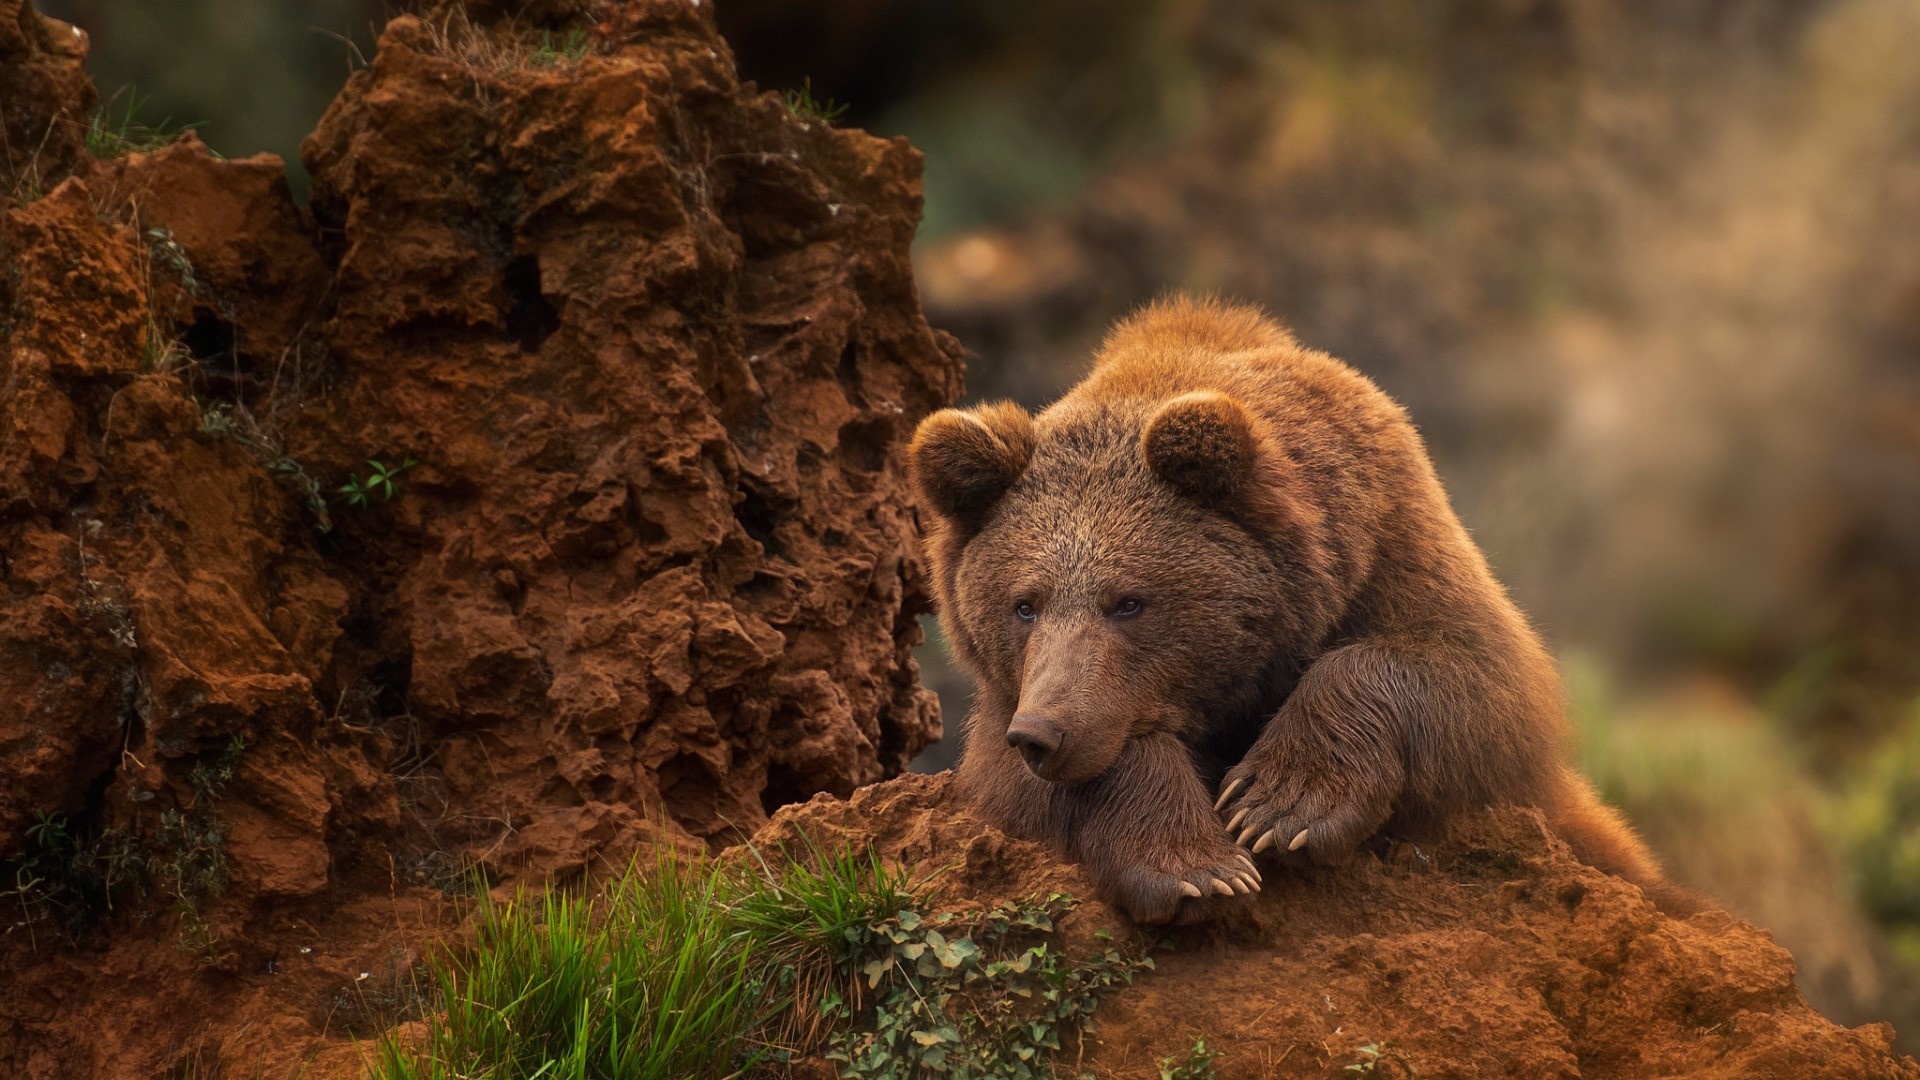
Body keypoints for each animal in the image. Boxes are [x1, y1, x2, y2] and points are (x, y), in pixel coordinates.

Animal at [909, 295, 1691, 924]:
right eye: (1024, 605)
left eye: (1129, 601)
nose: (1045, 733)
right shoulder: (1007, 705)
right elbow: (1019, 783)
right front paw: (1197, 868)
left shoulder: (1391, 540)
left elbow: (1483, 679)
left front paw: (1279, 806)